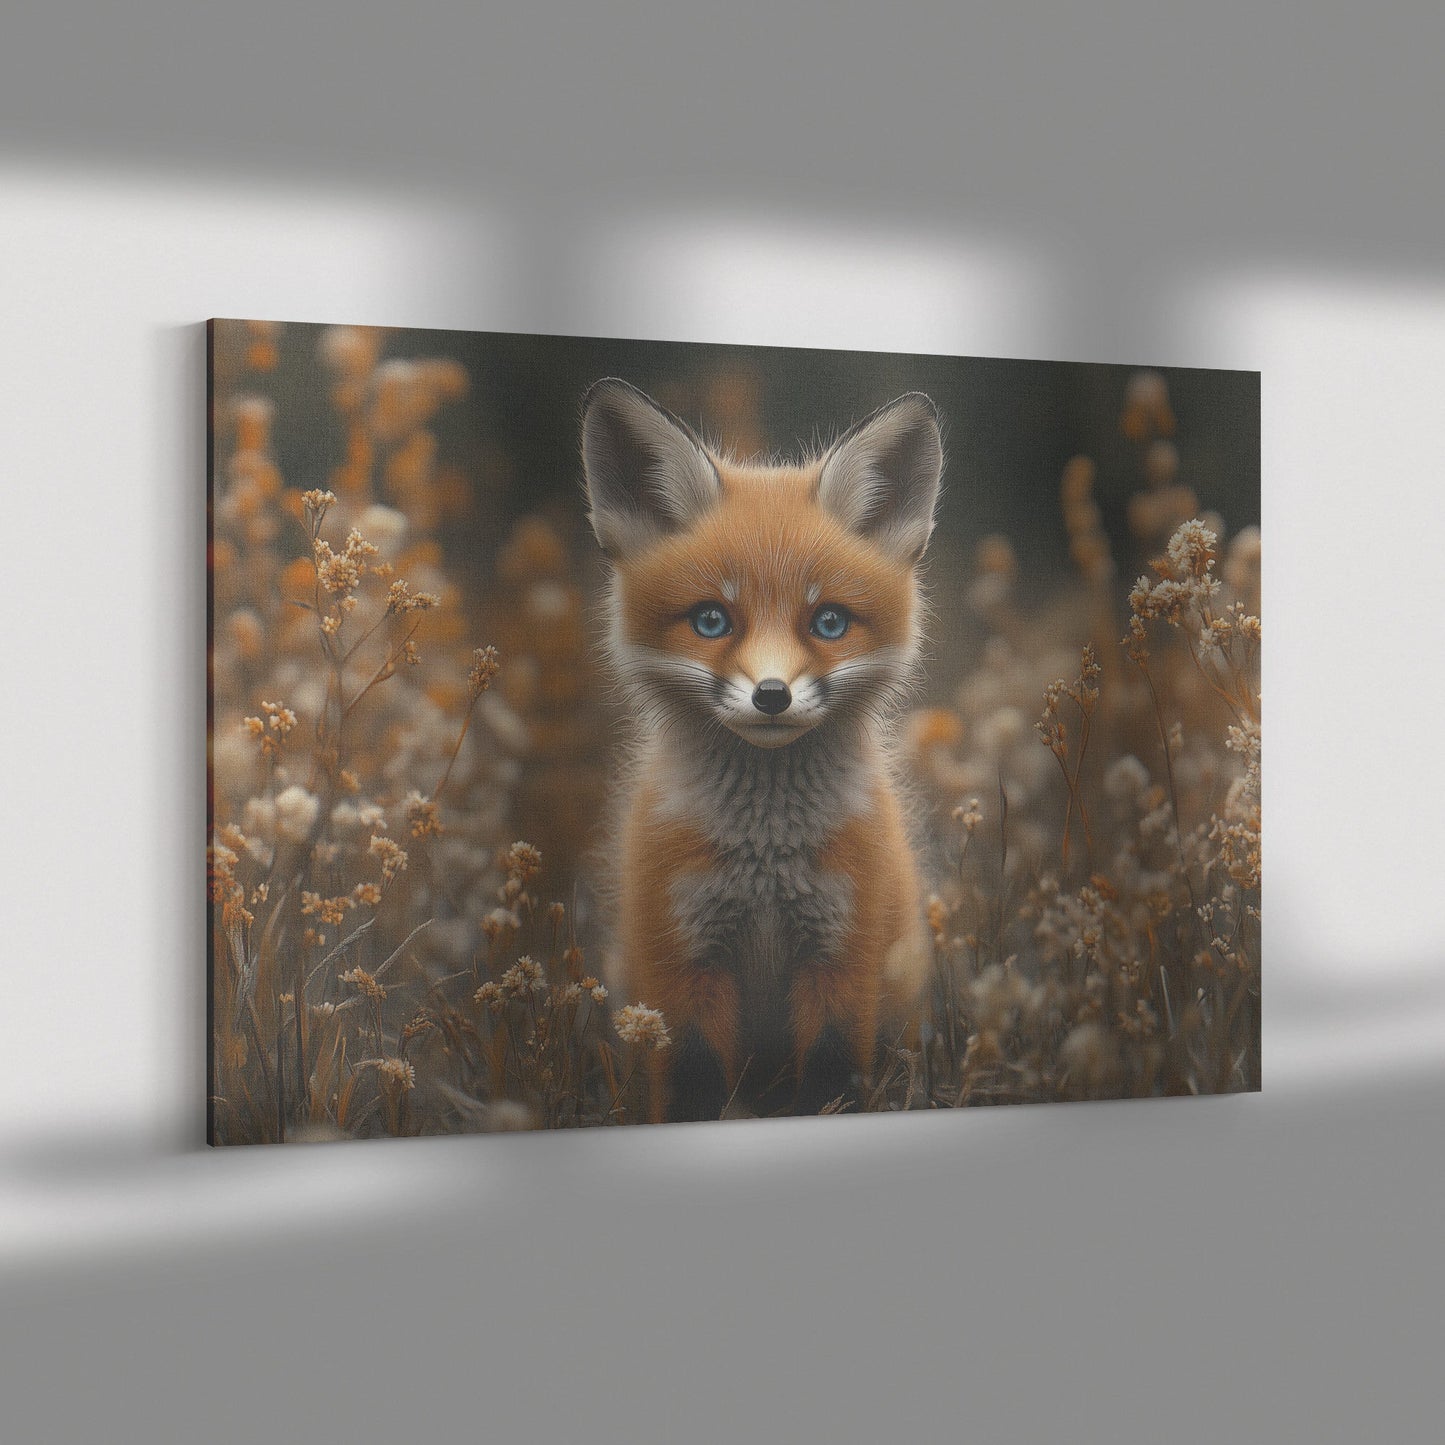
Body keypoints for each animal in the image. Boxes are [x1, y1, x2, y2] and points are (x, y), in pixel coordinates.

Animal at [581, 378, 943, 1123]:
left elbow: (831, 1083)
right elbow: (691, 1085)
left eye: (828, 621)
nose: (771, 695)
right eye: (711, 620)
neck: (765, 860)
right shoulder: (682, 960)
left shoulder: (842, 955)